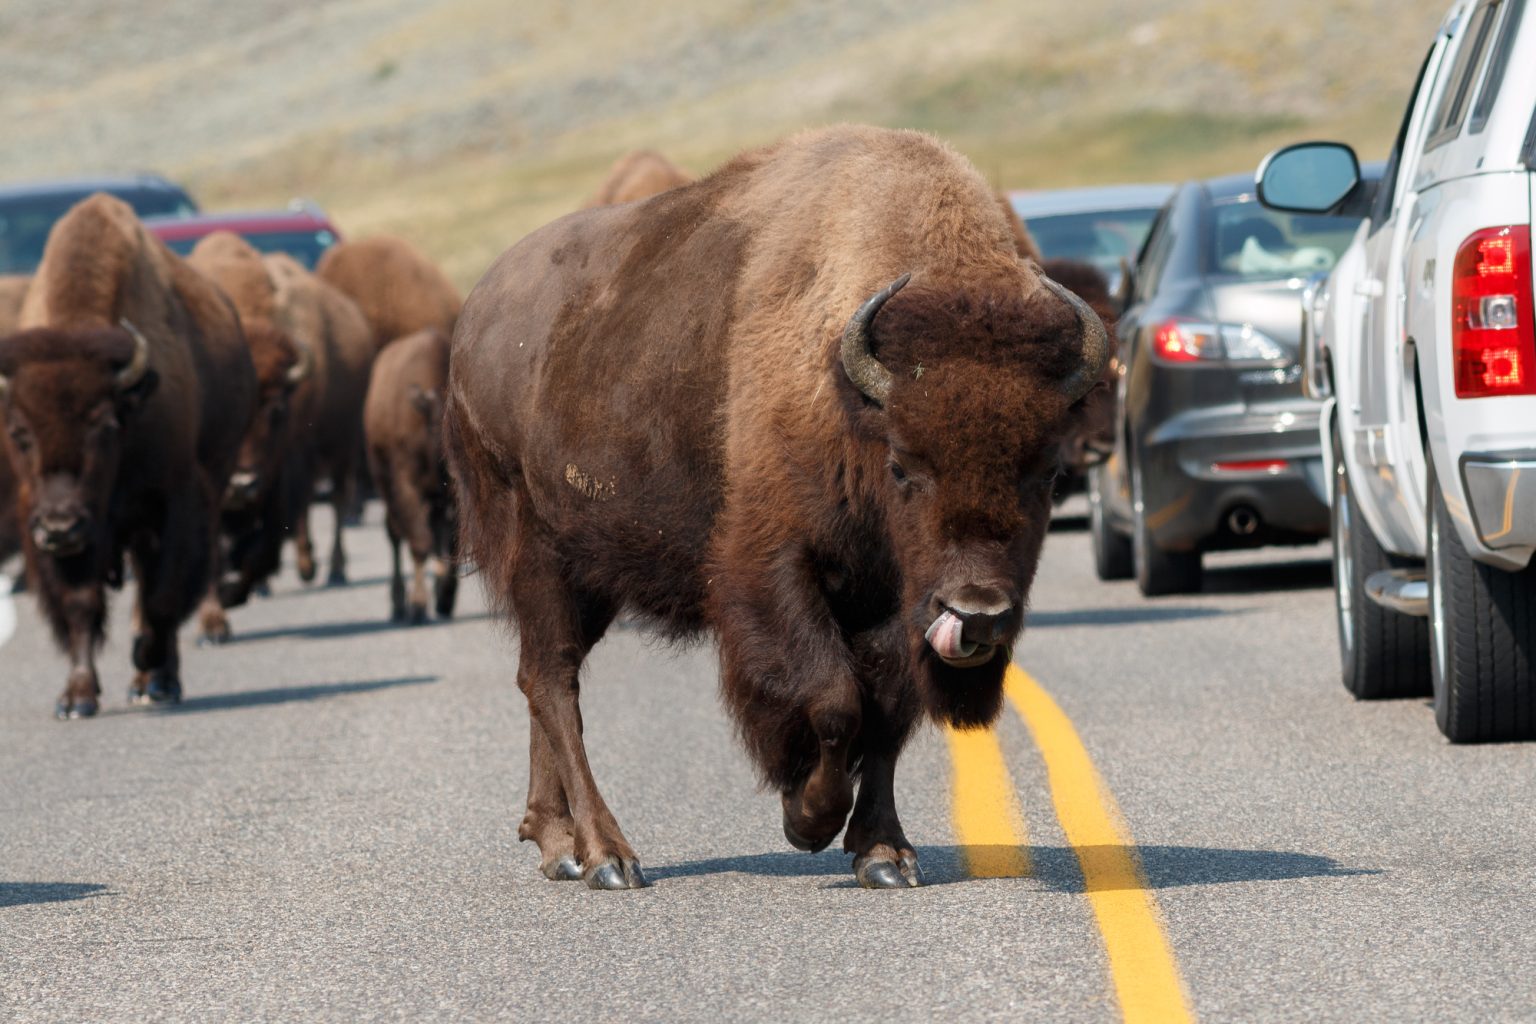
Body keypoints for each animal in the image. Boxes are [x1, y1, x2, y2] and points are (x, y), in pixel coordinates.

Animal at [0, 194, 256, 716]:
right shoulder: (54, 531)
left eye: (104, 426)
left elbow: (160, 598)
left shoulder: (171, 504)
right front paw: (76, 698)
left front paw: (148, 665)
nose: (60, 527)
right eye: (19, 431)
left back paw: (154, 680)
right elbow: (80, 604)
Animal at [364, 327, 457, 624]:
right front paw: (417, 605)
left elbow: (450, 542)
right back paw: (398, 603)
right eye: (439, 428)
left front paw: (445, 597)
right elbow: (419, 543)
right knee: (395, 534)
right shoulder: (406, 488)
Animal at [446, 125, 1106, 889]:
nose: (977, 614)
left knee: (542, 678)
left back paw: (557, 845)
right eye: (903, 464)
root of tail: (473, 319)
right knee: (554, 683)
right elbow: (832, 699)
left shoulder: (892, 601)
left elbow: (886, 714)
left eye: (1047, 471)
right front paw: (808, 818)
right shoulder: (777, 569)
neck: (850, 393)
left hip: (593, 573)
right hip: (538, 548)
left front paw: (884, 854)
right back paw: (609, 857)